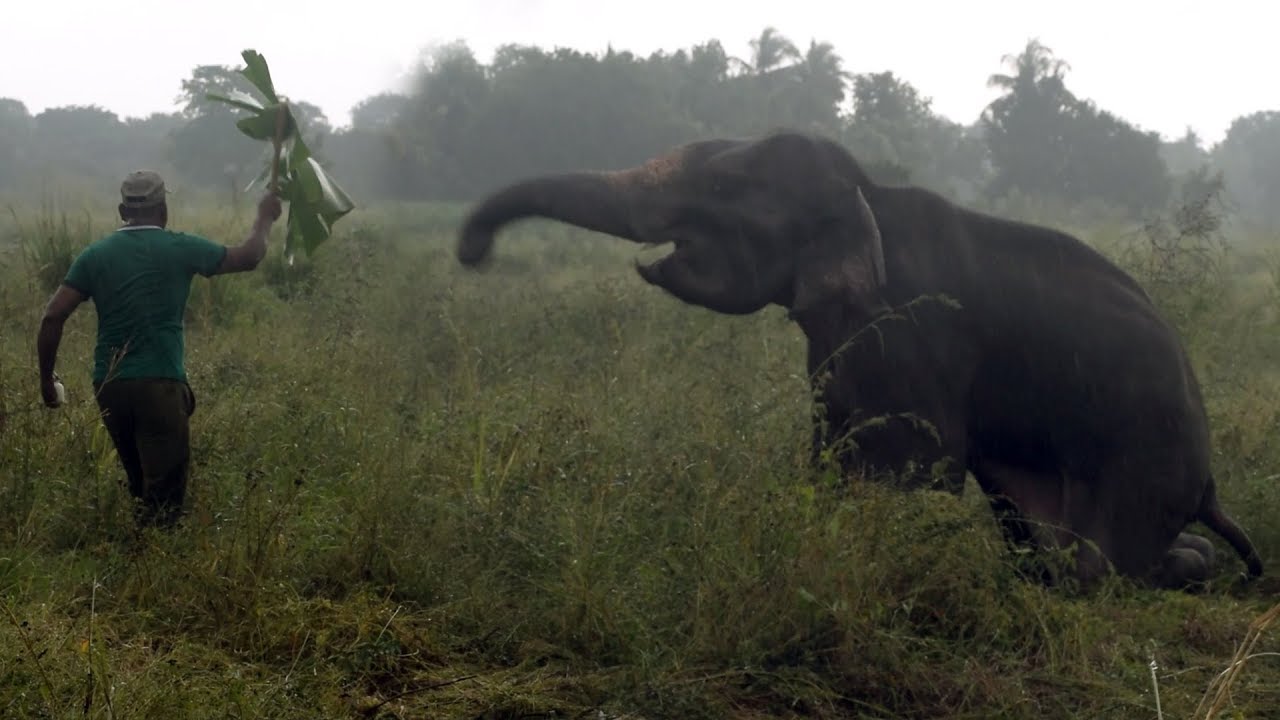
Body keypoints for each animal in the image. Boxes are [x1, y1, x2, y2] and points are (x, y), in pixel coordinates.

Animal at [455, 129, 1263, 591]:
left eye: (720, 190)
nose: (472, 253)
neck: (868, 194)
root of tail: (1210, 485)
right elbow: (831, 444)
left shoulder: (913, 334)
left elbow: (913, 462)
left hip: (1147, 461)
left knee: (1098, 562)